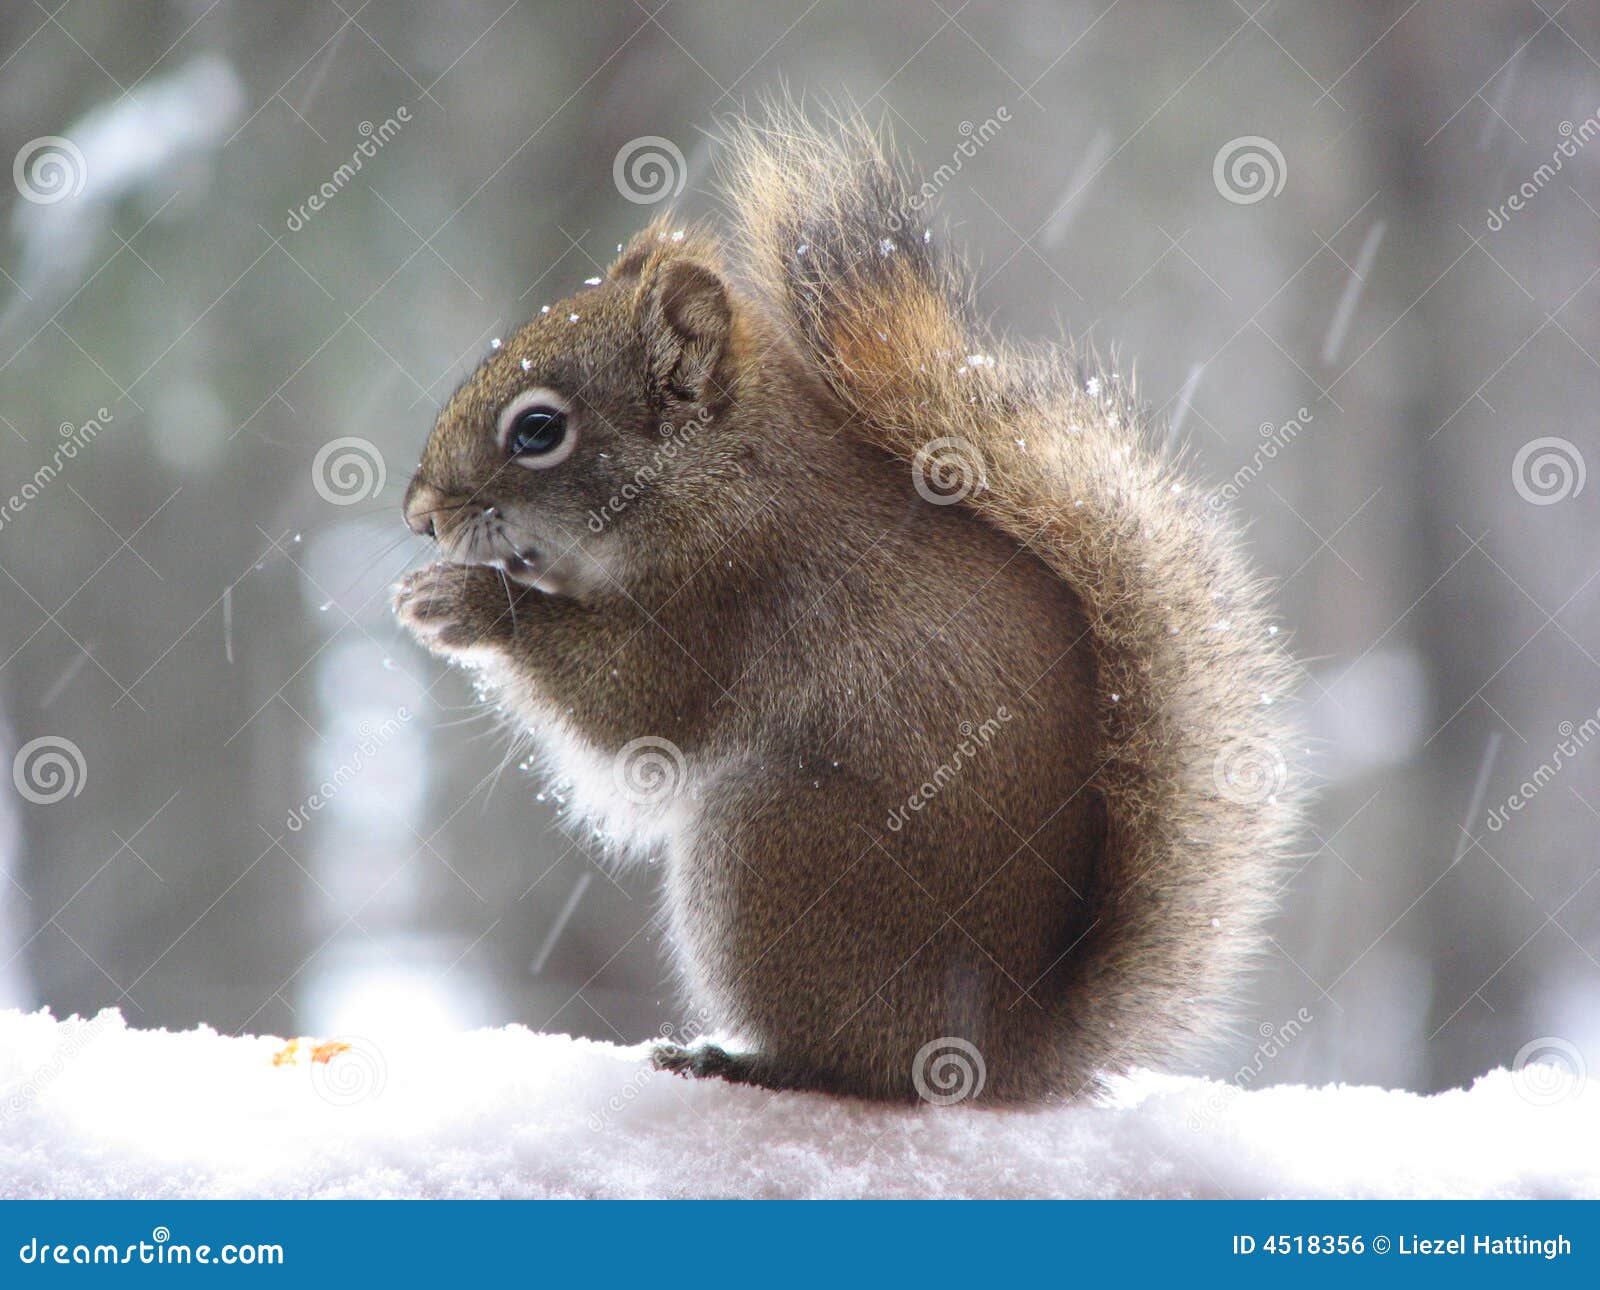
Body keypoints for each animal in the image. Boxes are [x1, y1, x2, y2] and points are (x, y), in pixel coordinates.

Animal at [393, 111, 1301, 1102]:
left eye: (539, 430)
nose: (420, 515)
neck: (720, 469)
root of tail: (1002, 1046)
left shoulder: (730, 594)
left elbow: (629, 703)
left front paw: (465, 601)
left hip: (773, 846)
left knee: (849, 1066)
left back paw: (742, 1059)